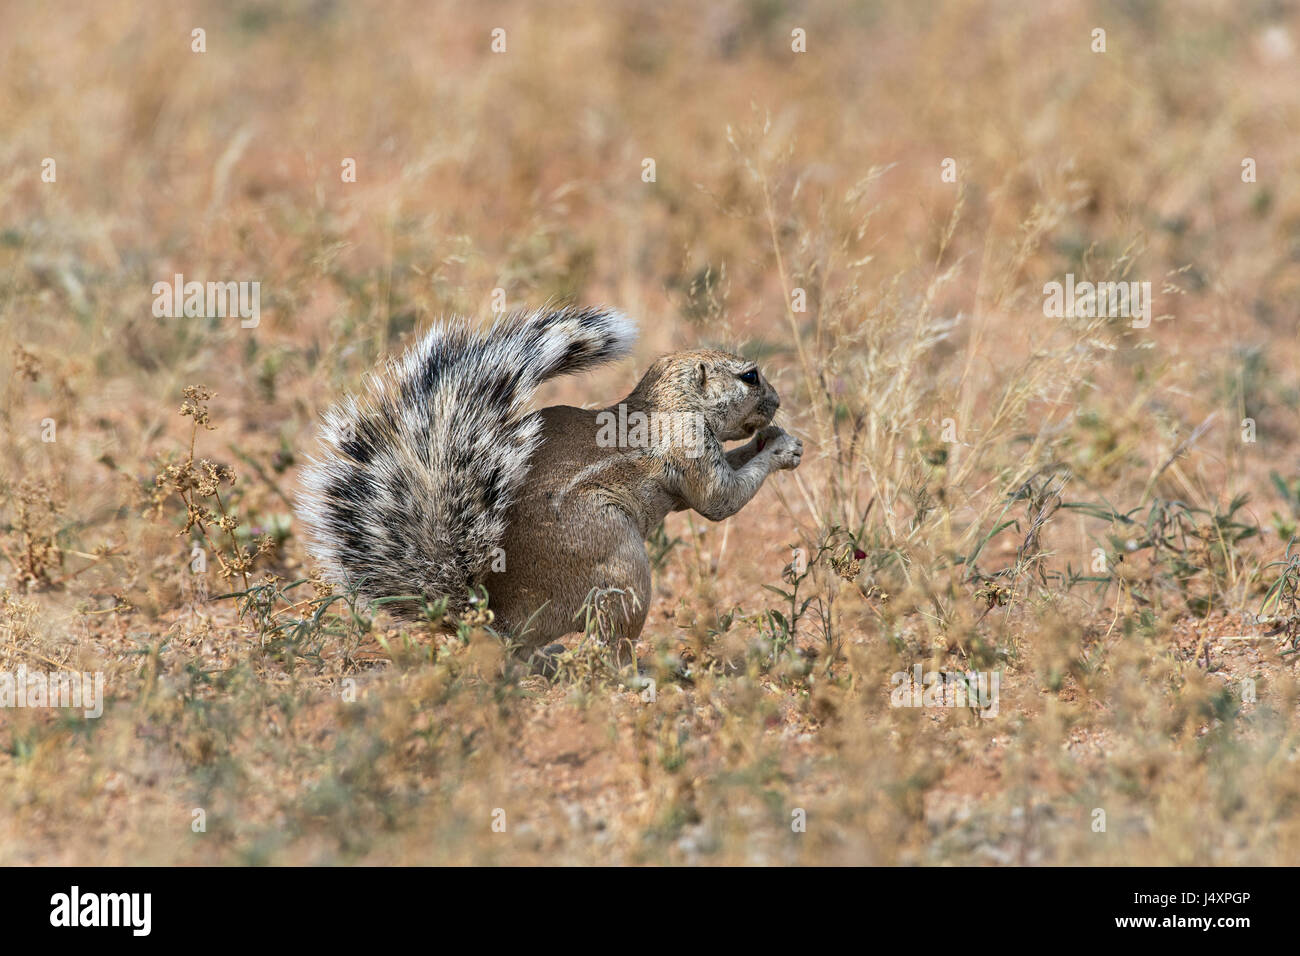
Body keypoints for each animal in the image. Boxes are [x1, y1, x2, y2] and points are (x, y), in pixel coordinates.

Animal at [296, 306, 803, 665]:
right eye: (750, 376)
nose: (778, 402)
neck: (670, 402)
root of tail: (497, 620)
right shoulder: (691, 445)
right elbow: (720, 501)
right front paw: (781, 449)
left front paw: (769, 439)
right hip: (625, 568)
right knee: (611, 650)